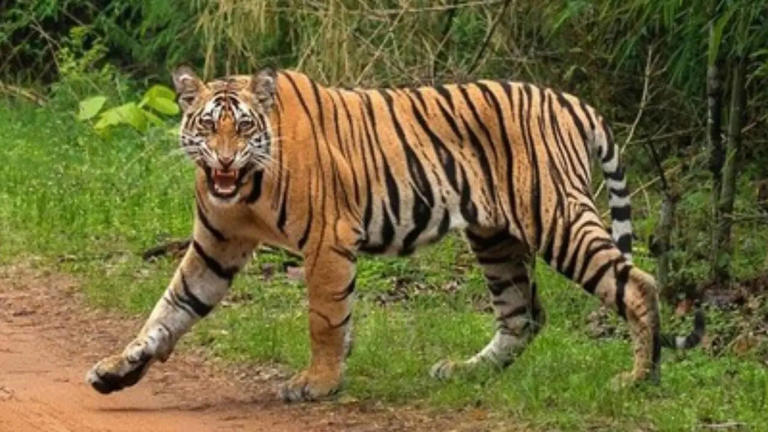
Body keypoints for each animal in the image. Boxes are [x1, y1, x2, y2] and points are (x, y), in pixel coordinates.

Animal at [86, 66, 704, 402]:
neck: (245, 190)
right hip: (495, 237)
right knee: (523, 315)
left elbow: (325, 318)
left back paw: (639, 379)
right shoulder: (215, 247)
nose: (223, 161)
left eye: (241, 127)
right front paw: (117, 369)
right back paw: (464, 372)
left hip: (556, 217)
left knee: (637, 284)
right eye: (206, 126)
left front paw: (318, 383)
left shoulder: (328, 239)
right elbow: (169, 310)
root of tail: (573, 101)